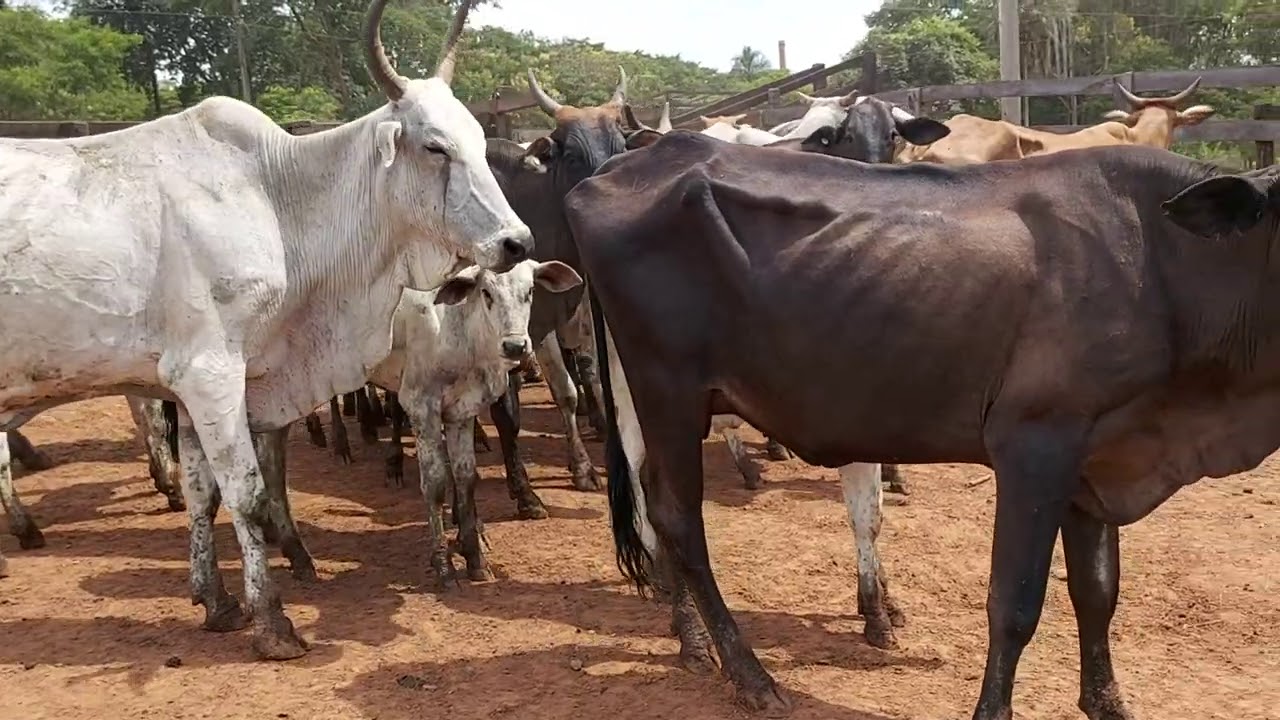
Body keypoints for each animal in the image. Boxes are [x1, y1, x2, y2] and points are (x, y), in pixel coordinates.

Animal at [0, 0, 532, 660]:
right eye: (435, 147)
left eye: (483, 143)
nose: (516, 241)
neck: (277, 199)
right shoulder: (210, 375)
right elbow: (247, 497)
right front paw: (272, 623)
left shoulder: (191, 391)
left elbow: (203, 496)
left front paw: (218, 603)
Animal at [370, 259, 582, 586]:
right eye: (486, 292)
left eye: (530, 291)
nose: (515, 347)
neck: (453, 324)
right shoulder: (422, 406)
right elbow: (435, 483)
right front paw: (443, 564)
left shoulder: (461, 409)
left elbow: (466, 477)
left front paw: (474, 557)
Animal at [567, 132, 1280, 718]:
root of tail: (626, 163)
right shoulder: (1034, 441)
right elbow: (1015, 603)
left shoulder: (1101, 452)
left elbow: (1098, 592)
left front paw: (1107, 704)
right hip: (666, 386)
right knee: (677, 517)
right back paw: (749, 676)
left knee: (653, 502)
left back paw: (692, 643)